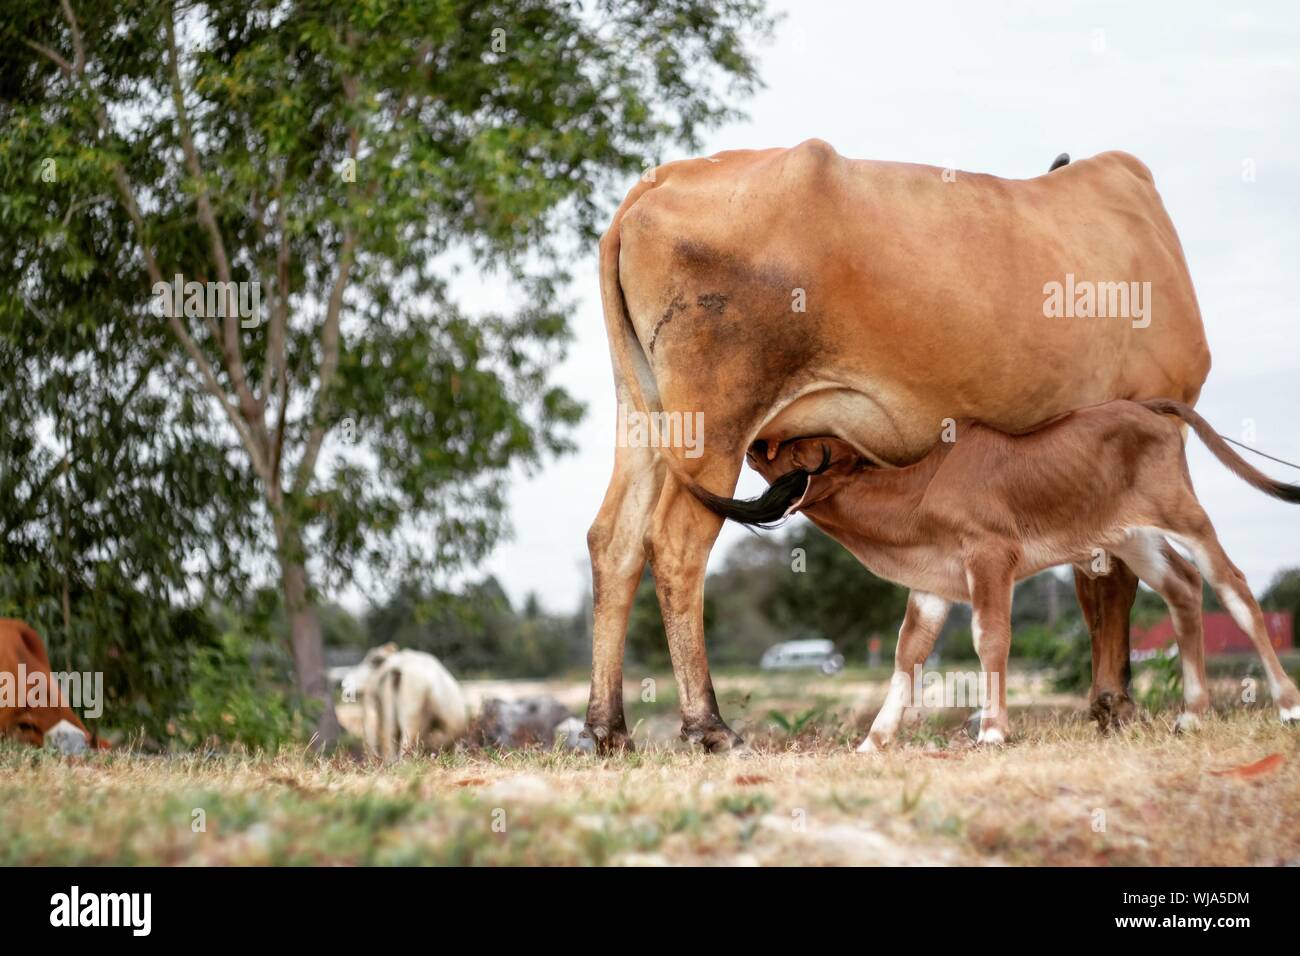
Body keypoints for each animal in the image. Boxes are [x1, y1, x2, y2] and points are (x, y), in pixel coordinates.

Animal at [584, 141, 1211, 752]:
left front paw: (1109, 704)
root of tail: (662, 179)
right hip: (716, 417)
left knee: (615, 540)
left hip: (645, 416)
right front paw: (1115, 705)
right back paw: (708, 725)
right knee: (677, 542)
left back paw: (609, 728)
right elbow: (1112, 576)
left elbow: (1098, 573)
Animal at [692, 400, 1300, 748]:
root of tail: (1153, 411)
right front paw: (875, 739)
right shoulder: (932, 583)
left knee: (1234, 589)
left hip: (1185, 514)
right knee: (1184, 589)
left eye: (793, 448)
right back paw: (1192, 715)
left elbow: (990, 640)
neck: (916, 493)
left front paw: (991, 729)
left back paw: (1287, 703)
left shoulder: (990, 559)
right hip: (1132, 537)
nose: (754, 438)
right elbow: (908, 654)